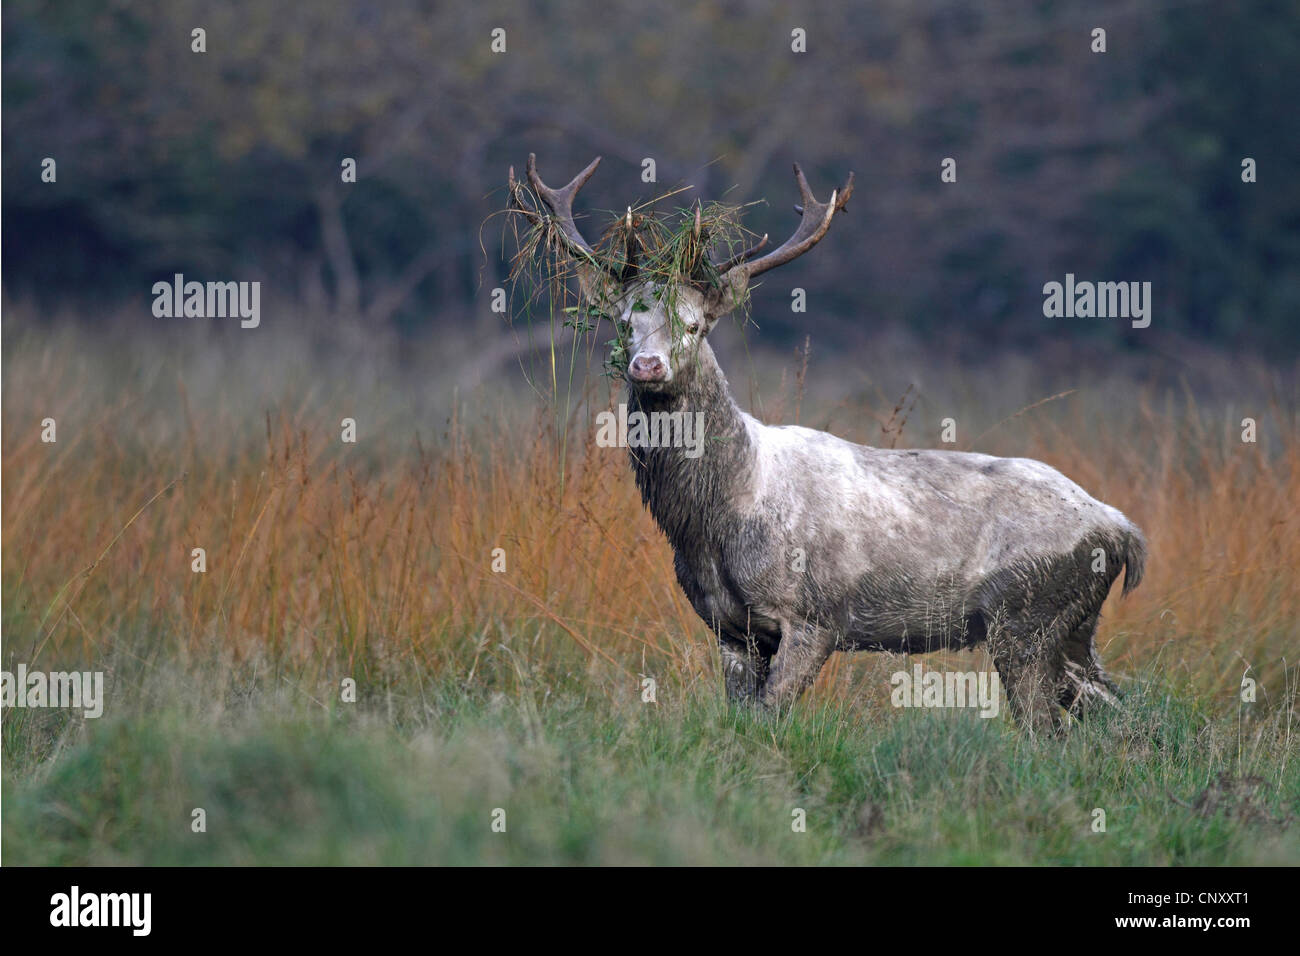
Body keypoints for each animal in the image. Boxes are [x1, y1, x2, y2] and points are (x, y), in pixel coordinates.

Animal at [508, 154, 1147, 733]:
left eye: (694, 325)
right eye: (624, 324)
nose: (646, 365)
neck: (717, 520)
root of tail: (1121, 530)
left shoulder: (815, 614)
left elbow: (770, 718)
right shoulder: (729, 628)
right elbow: (741, 720)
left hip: (1026, 615)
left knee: (1050, 728)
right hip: (1072, 627)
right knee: (1120, 712)